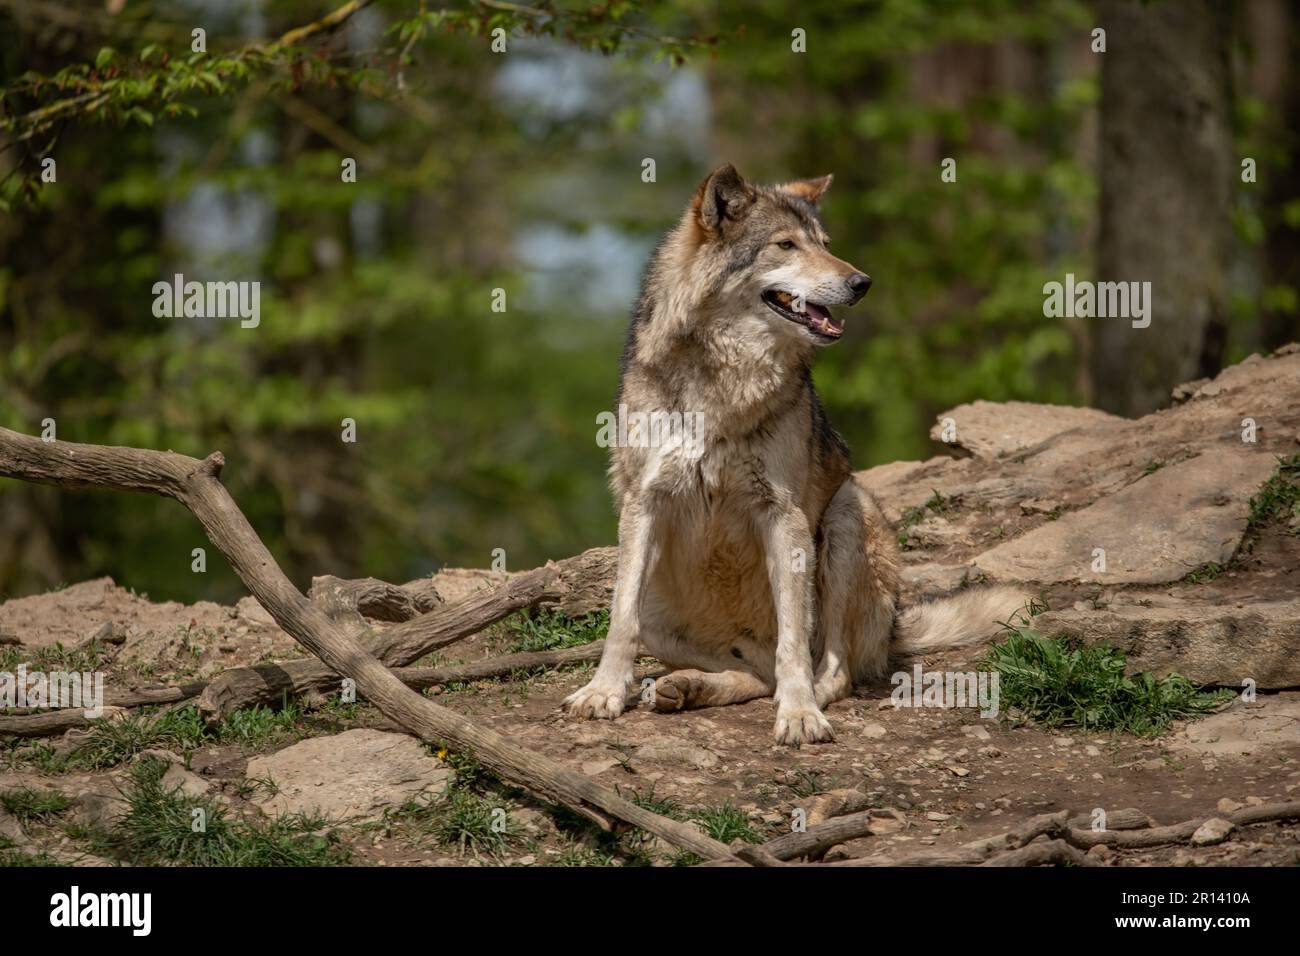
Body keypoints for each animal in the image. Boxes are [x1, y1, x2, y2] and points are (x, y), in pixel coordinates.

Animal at [563, 164, 1026, 746]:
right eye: (786, 245)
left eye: (825, 245)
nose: (861, 283)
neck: (727, 379)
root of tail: (893, 625)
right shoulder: (644, 506)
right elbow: (618, 621)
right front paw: (603, 692)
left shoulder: (783, 515)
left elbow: (794, 640)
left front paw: (800, 714)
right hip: (661, 612)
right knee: (756, 672)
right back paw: (686, 687)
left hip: (846, 515)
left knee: (830, 666)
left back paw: (801, 698)